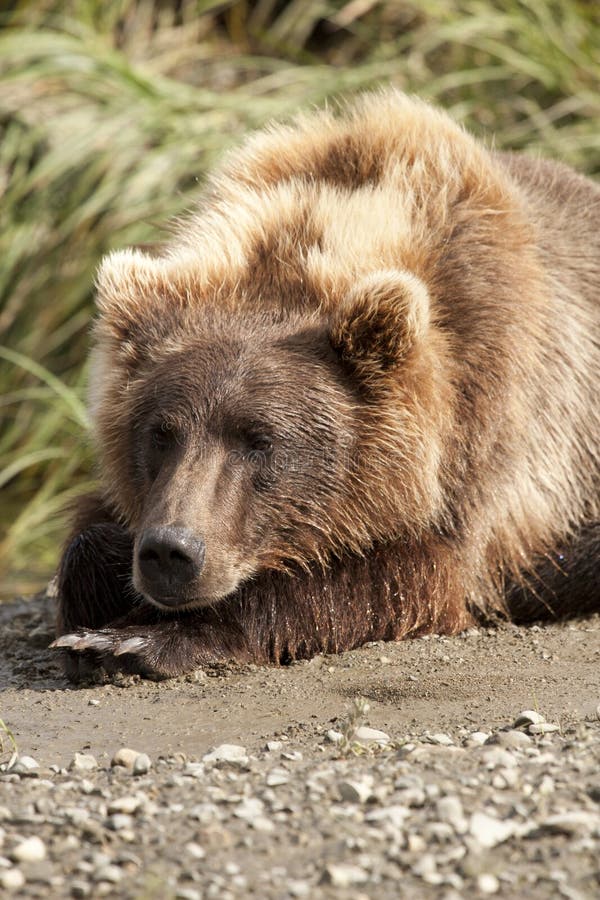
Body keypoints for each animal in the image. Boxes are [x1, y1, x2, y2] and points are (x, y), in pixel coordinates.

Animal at [52, 90, 600, 681]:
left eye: (259, 440)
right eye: (160, 433)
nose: (171, 552)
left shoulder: (487, 436)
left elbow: (400, 576)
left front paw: (134, 641)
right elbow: (90, 538)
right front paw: (100, 599)